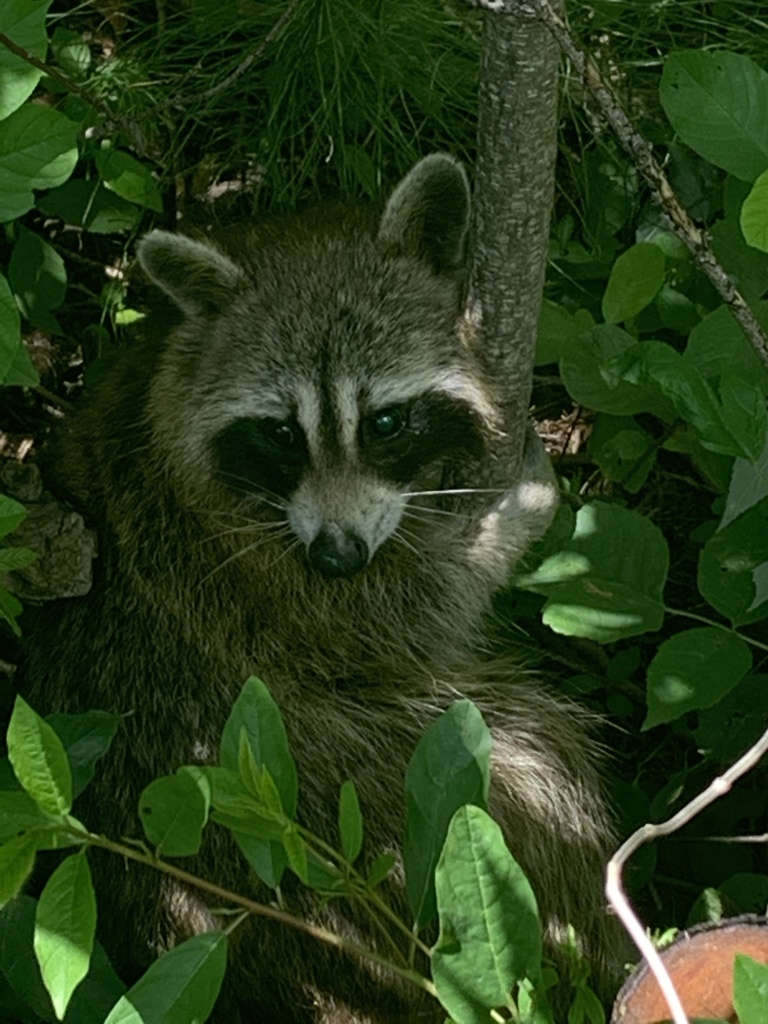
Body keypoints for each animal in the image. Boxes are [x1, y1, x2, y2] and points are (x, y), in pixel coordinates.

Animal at [22, 155, 617, 1022]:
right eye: (279, 431)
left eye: (385, 422)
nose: (337, 556)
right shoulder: (236, 566)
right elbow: (422, 607)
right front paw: (513, 515)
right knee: (539, 757)